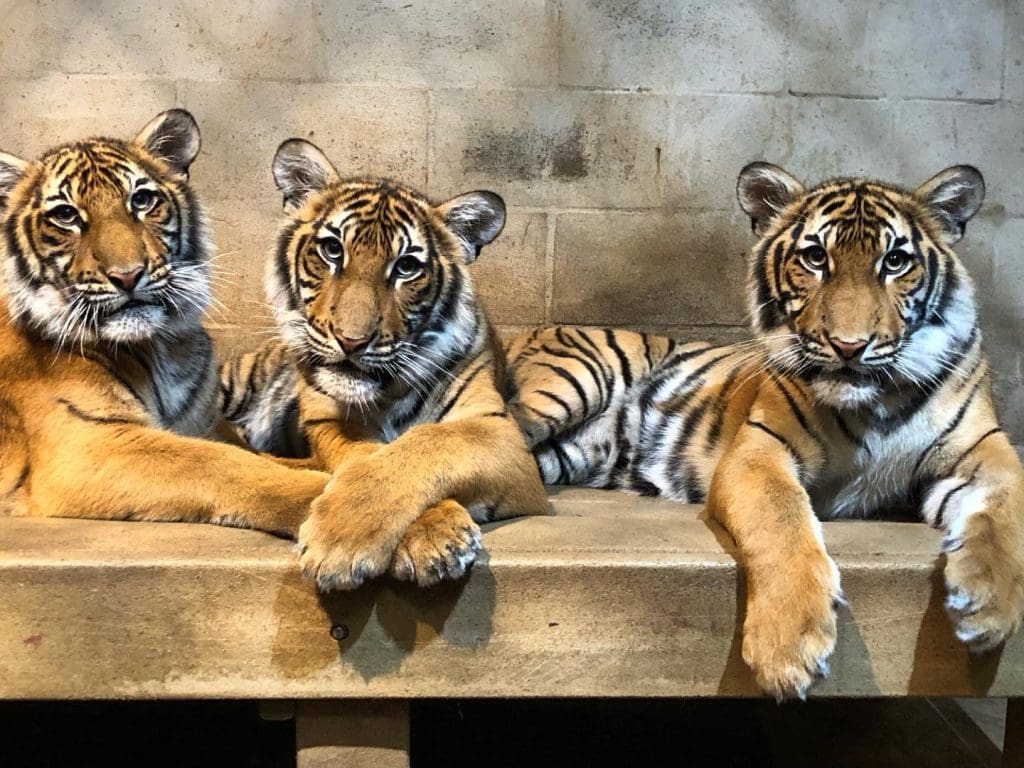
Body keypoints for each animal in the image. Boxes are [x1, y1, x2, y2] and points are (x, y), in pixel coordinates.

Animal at [0, 110, 329, 535]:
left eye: (141, 200)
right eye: (66, 215)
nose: (127, 276)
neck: (162, 347)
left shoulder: (207, 424)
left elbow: (264, 455)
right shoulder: (89, 446)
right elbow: (220, 463)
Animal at [220, 138, 548, 592]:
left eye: (406, 266)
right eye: (332, 250)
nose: (351, 340)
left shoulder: (498, 433)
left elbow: (430, 443)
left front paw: (346, 539)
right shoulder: (328, 423)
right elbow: (366, 456)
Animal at [505, 163, 1024, 699]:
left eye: (895, 261)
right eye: (815, 257)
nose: (849, 346)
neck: (875, 404)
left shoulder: (984, 450)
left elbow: (1008, 511)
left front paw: (987, 609)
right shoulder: (759, 450)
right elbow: (782, 519)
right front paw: (788, 649)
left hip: (572, 452)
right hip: (574, 380)